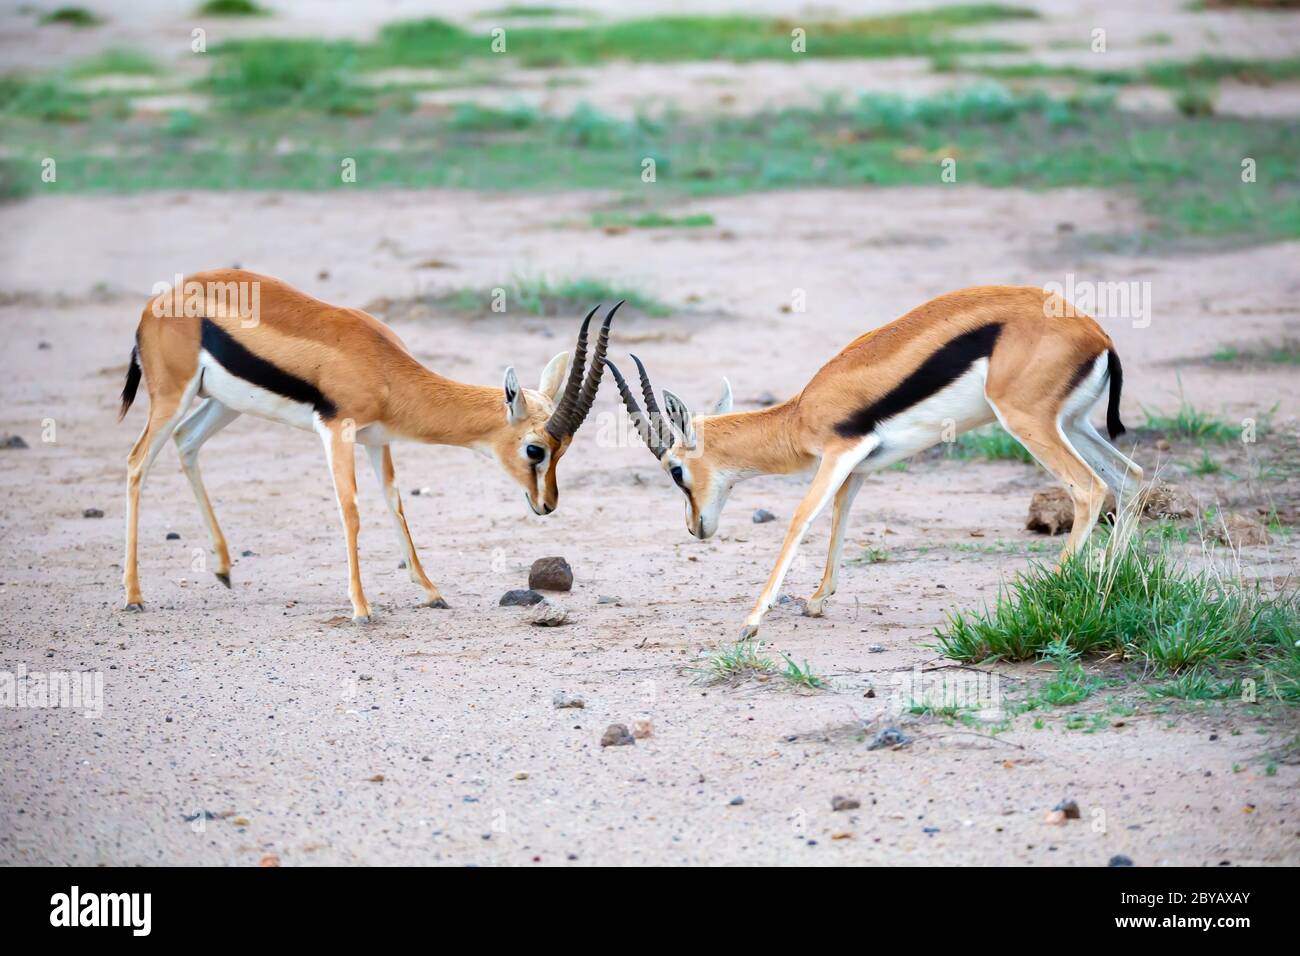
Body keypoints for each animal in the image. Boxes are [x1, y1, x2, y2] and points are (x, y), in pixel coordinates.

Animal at [118, 269, 617, 622]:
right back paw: (134, 595)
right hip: (172, 397)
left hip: (225, 404)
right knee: (137, 461)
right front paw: (361, 608)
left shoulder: (377, 440)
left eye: (565, 449)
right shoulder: (337, 429)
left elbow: (395, 503)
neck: (382, 365)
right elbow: (351, 508)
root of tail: (154, 304)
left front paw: (432, 593)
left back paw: (222, 568)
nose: (547, 504)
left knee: (186, 442)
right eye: (536, 449)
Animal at [608, 285, 1143, 639]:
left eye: (675, 471)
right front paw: (817, 601)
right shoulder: (859, 465)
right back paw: (1111, 584)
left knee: (1089, 488)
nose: (696, 527)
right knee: (1130, 479)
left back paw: (1050, 590)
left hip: (1029, 423)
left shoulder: (838, 454)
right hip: (1073, 424)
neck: (799, 413)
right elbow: (840, 518)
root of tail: (1097, 333)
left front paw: (753, 619)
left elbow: (802, 520)